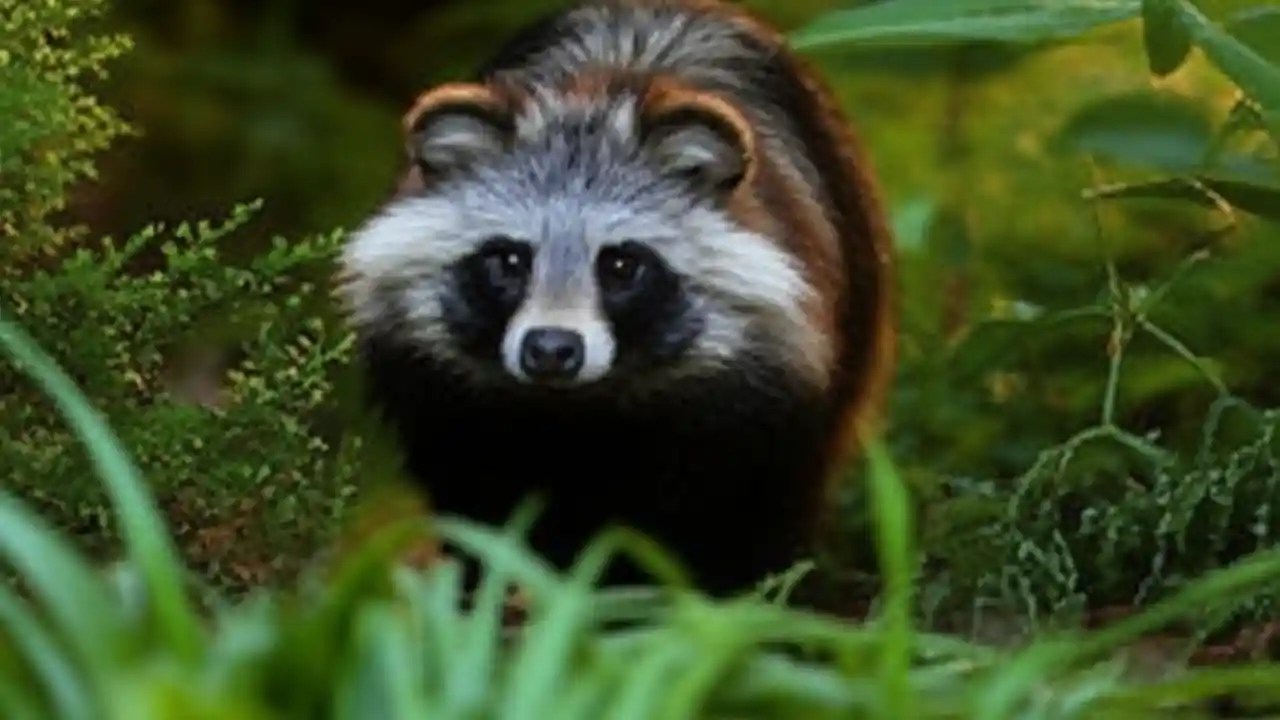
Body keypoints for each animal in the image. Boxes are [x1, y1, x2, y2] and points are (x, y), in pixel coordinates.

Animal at [336, 0, 896, 597]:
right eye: (509, 261)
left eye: (622, 266)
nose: (551, 349)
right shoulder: (449, 409)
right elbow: (480, 516)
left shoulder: (759, 412)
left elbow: (730, 523)